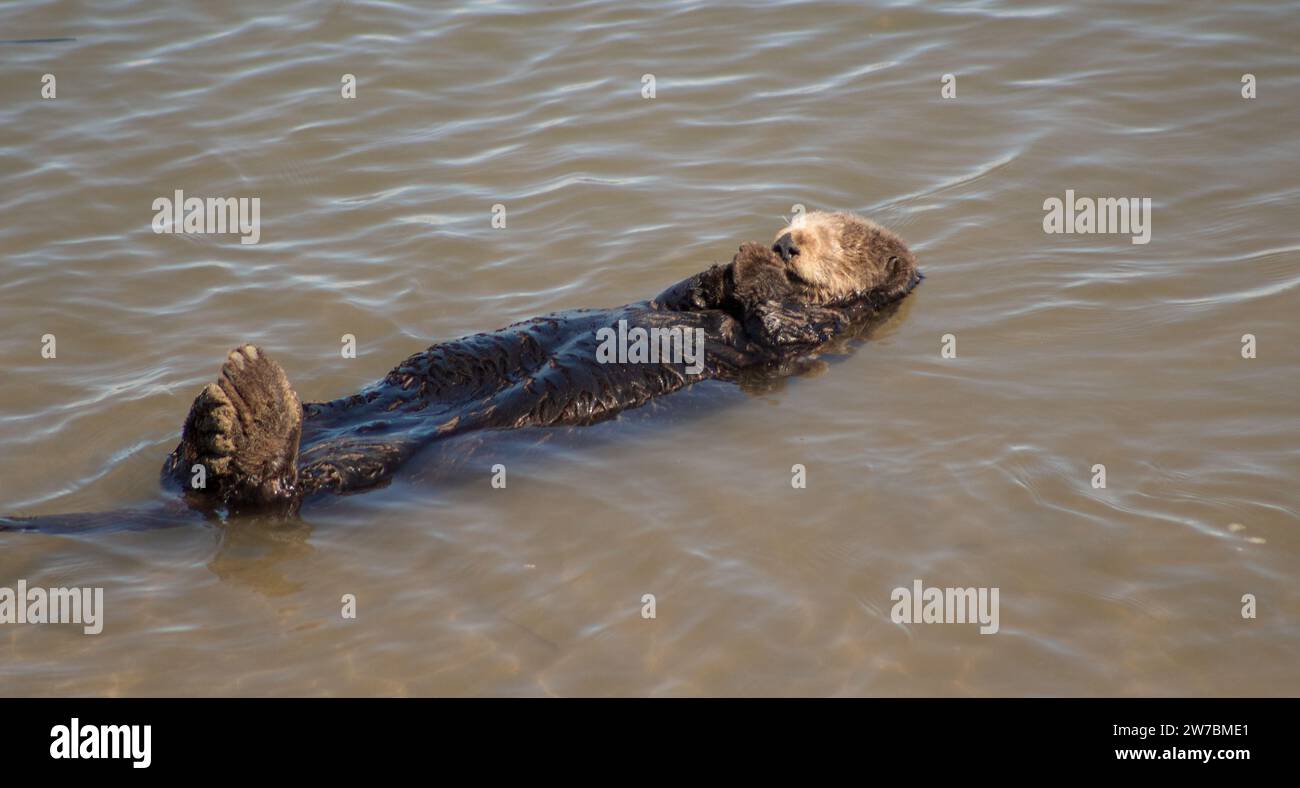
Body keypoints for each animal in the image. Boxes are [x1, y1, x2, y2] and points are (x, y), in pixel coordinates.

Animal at [2, 211, 920, 529]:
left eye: (832, 237)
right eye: (800, 218)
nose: (785, 239)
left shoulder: (810, 334)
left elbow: (776, 321)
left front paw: (751, 269)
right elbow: (682, 293)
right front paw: (722, 266)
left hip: (374, 464)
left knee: (273, 491)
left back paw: (249, 417)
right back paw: (221, 420)